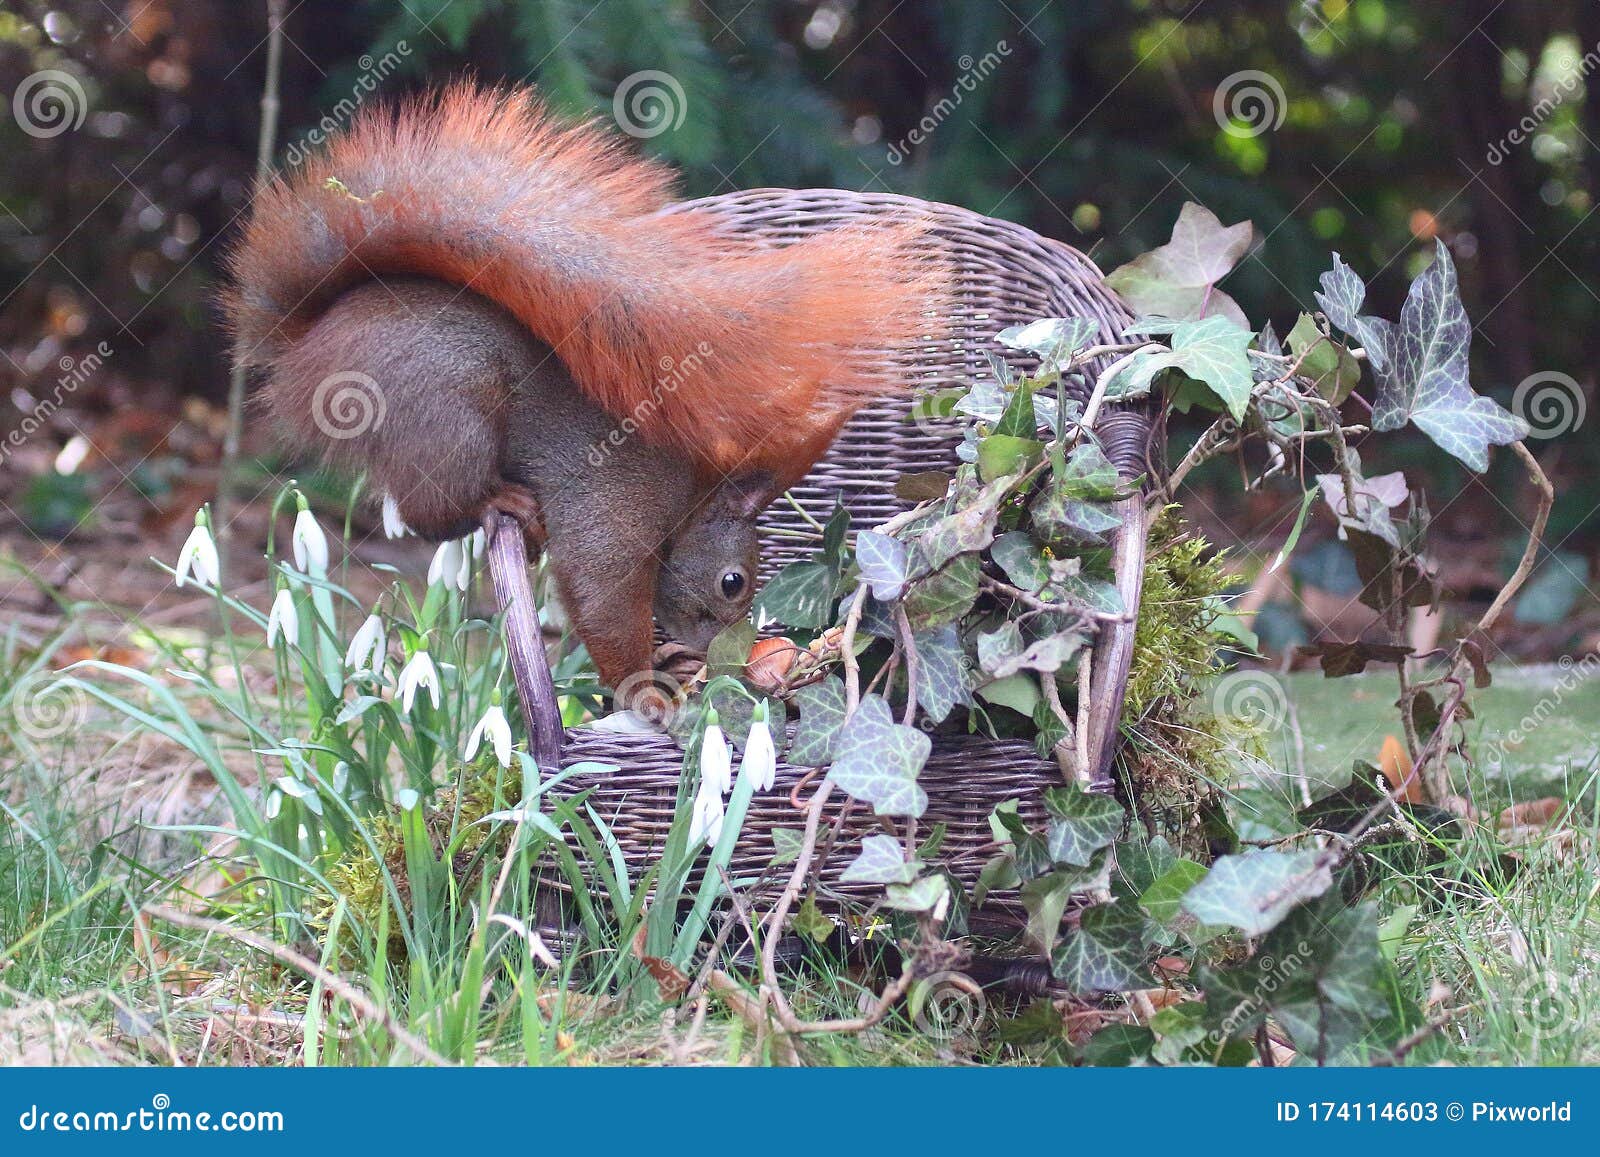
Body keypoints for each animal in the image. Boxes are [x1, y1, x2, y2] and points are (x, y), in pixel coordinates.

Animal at [224, 83, 944, 711]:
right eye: (732, 581)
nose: (726, 649)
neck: (684, 499)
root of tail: (307, 348)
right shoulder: (618, 511)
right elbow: (602, 599)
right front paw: (649, 692)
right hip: (446, 416)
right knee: (433, 510)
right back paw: (501, 503)